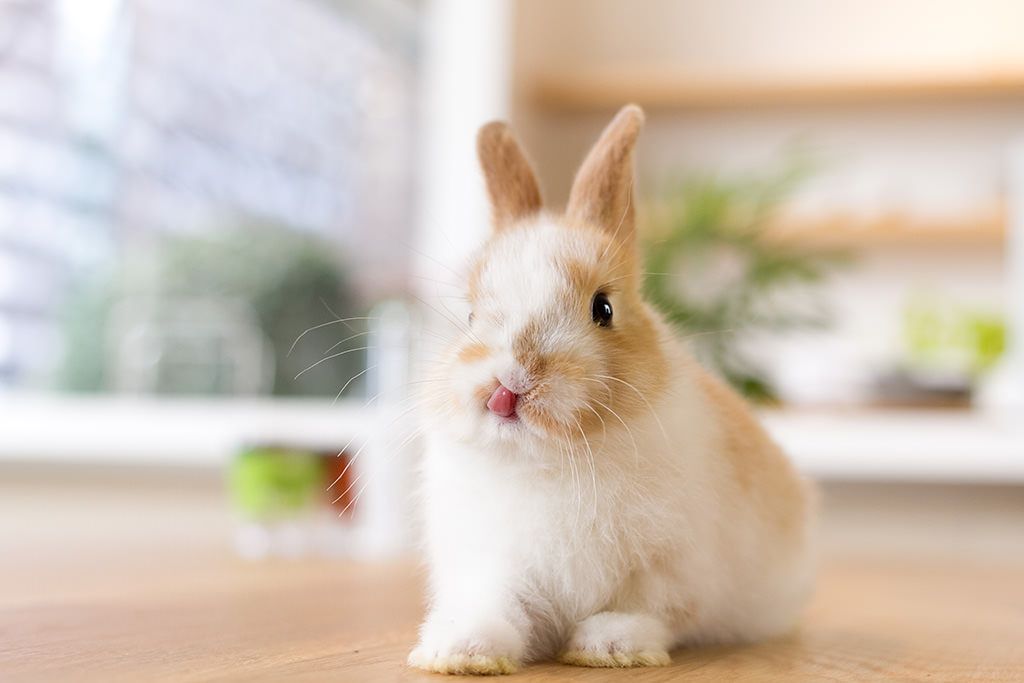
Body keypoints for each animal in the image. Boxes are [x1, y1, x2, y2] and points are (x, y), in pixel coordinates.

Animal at [407, 104, 816, 675]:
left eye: (603, 309)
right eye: (469, 316)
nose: (507, 385)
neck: (551, 463)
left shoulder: (666, 570)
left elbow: (645, 609)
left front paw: (609, 648)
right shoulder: (495, 564)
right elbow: (497, 608)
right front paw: (462, 653)